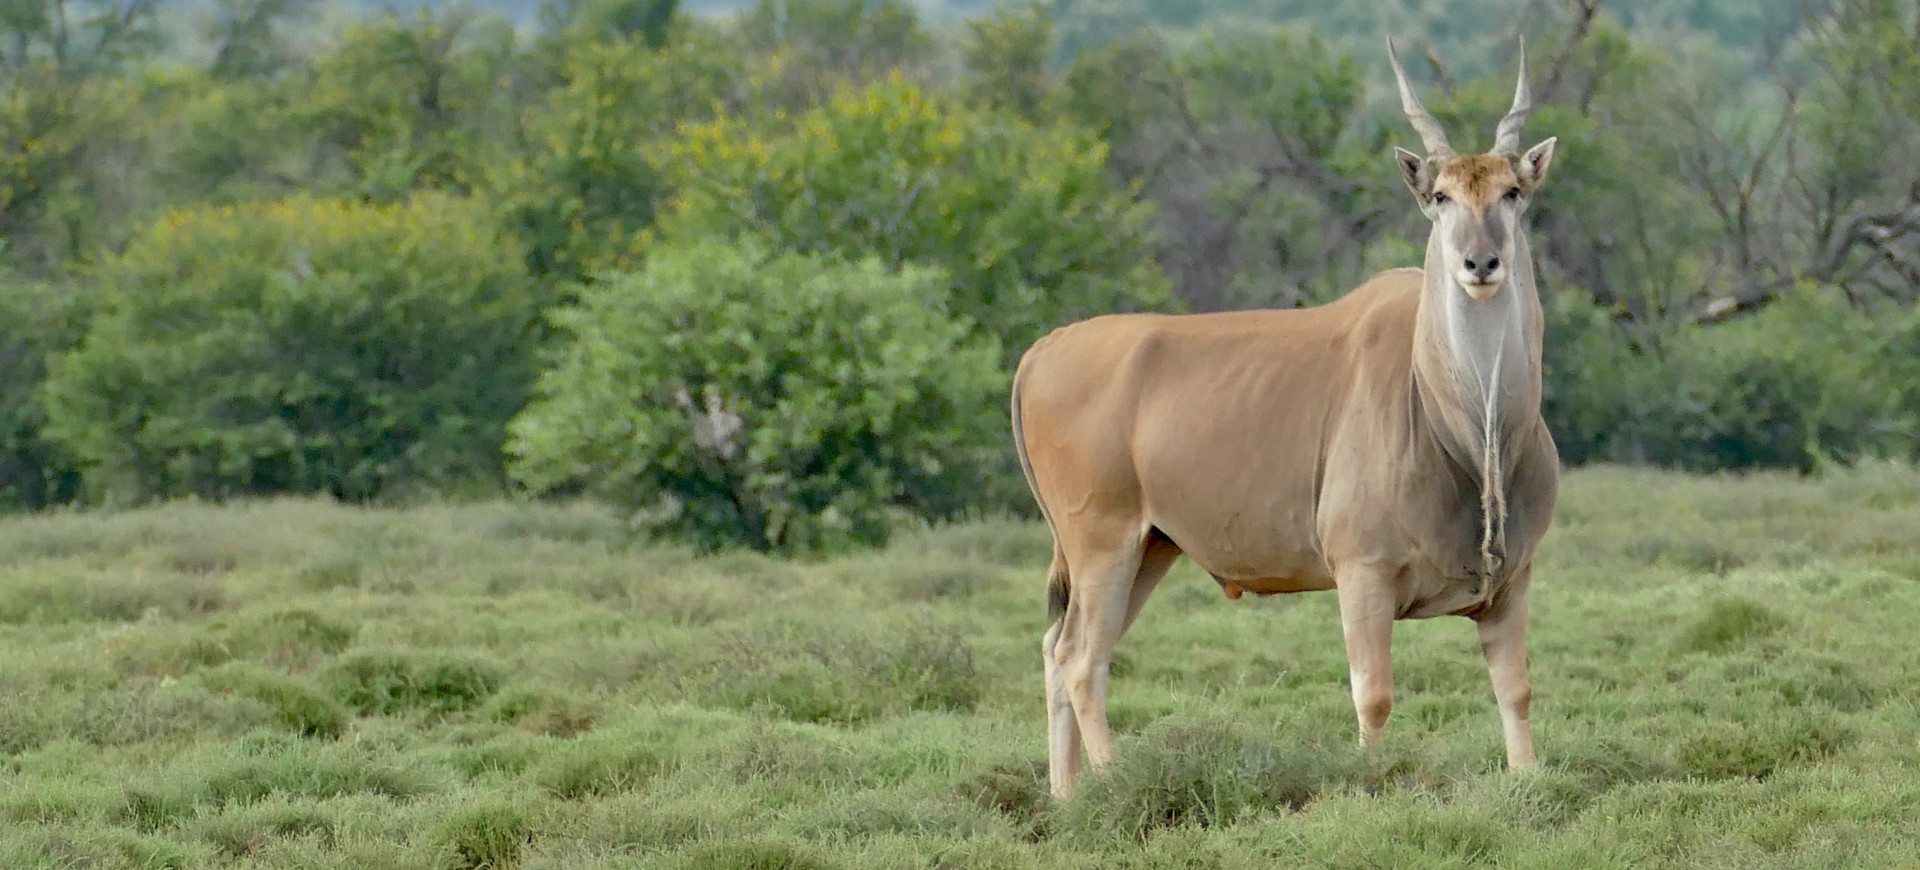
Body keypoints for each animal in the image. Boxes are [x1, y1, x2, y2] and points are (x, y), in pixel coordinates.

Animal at [1010, 38, 1560, 797]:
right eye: (1440, 197)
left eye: (1511, 192)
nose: (1482, 262)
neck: (1467, 433)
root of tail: (1040, 351)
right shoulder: (1362, 574)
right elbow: (1373, 696)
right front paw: (1371, 787)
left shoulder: (1513, 582)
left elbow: (1517, 691)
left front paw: (1527, 782)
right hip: (1102, 541)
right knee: (1080, 659)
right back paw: (1115, 785)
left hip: (1148, 548)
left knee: (1056, 647)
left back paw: (1066, 800)